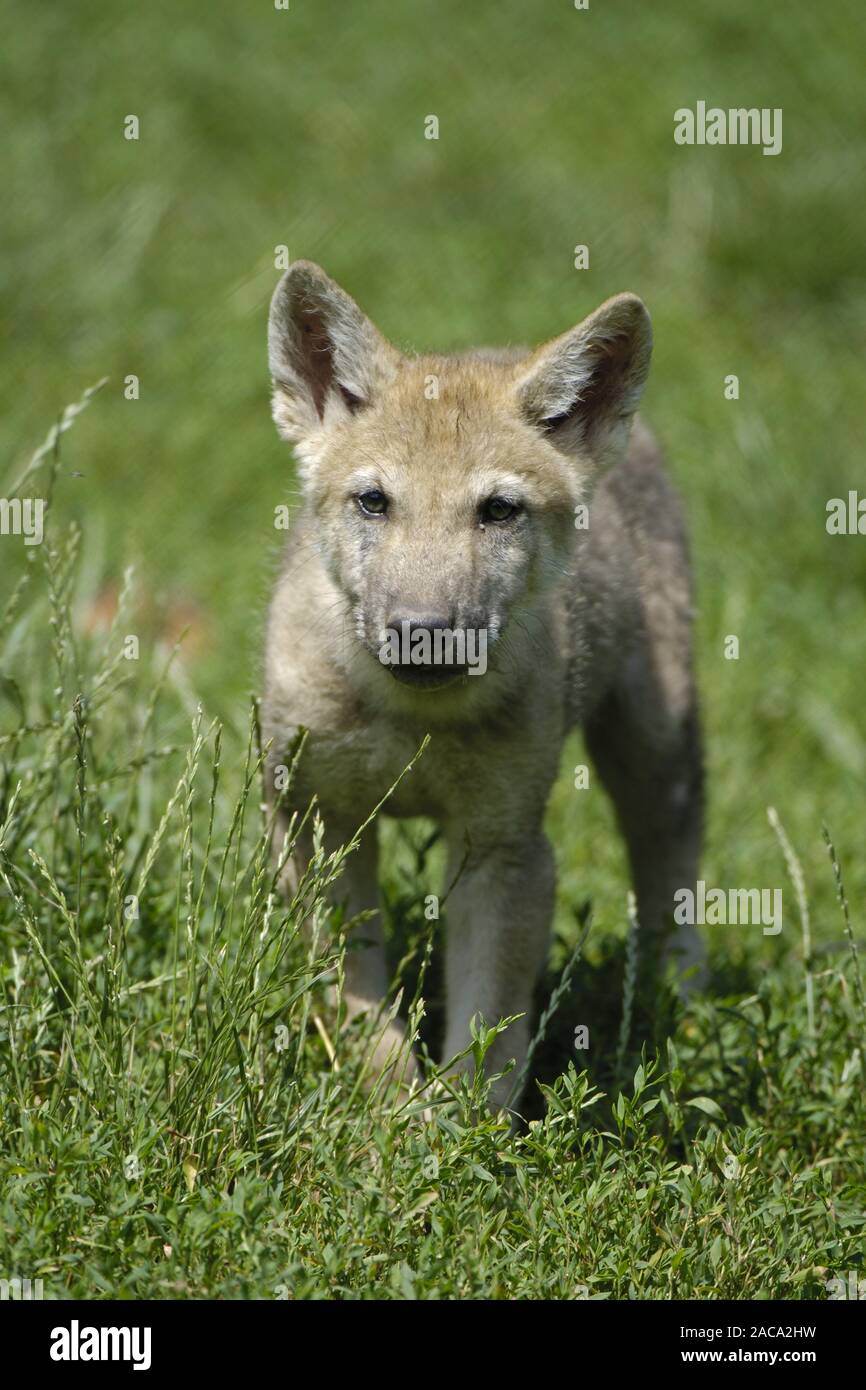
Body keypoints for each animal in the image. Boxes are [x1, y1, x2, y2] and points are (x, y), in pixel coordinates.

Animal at [262, 261, 703, 1107]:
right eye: (375, 501)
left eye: (498, 511)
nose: (424, 630)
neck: (412, 721)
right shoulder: (316, 820)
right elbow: (359, 1006)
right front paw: (390, 1115)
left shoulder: (505, 849)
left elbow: (487, 1032)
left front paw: (467, 1134)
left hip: (653, 741)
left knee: (675, 864)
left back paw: (684, 1006)